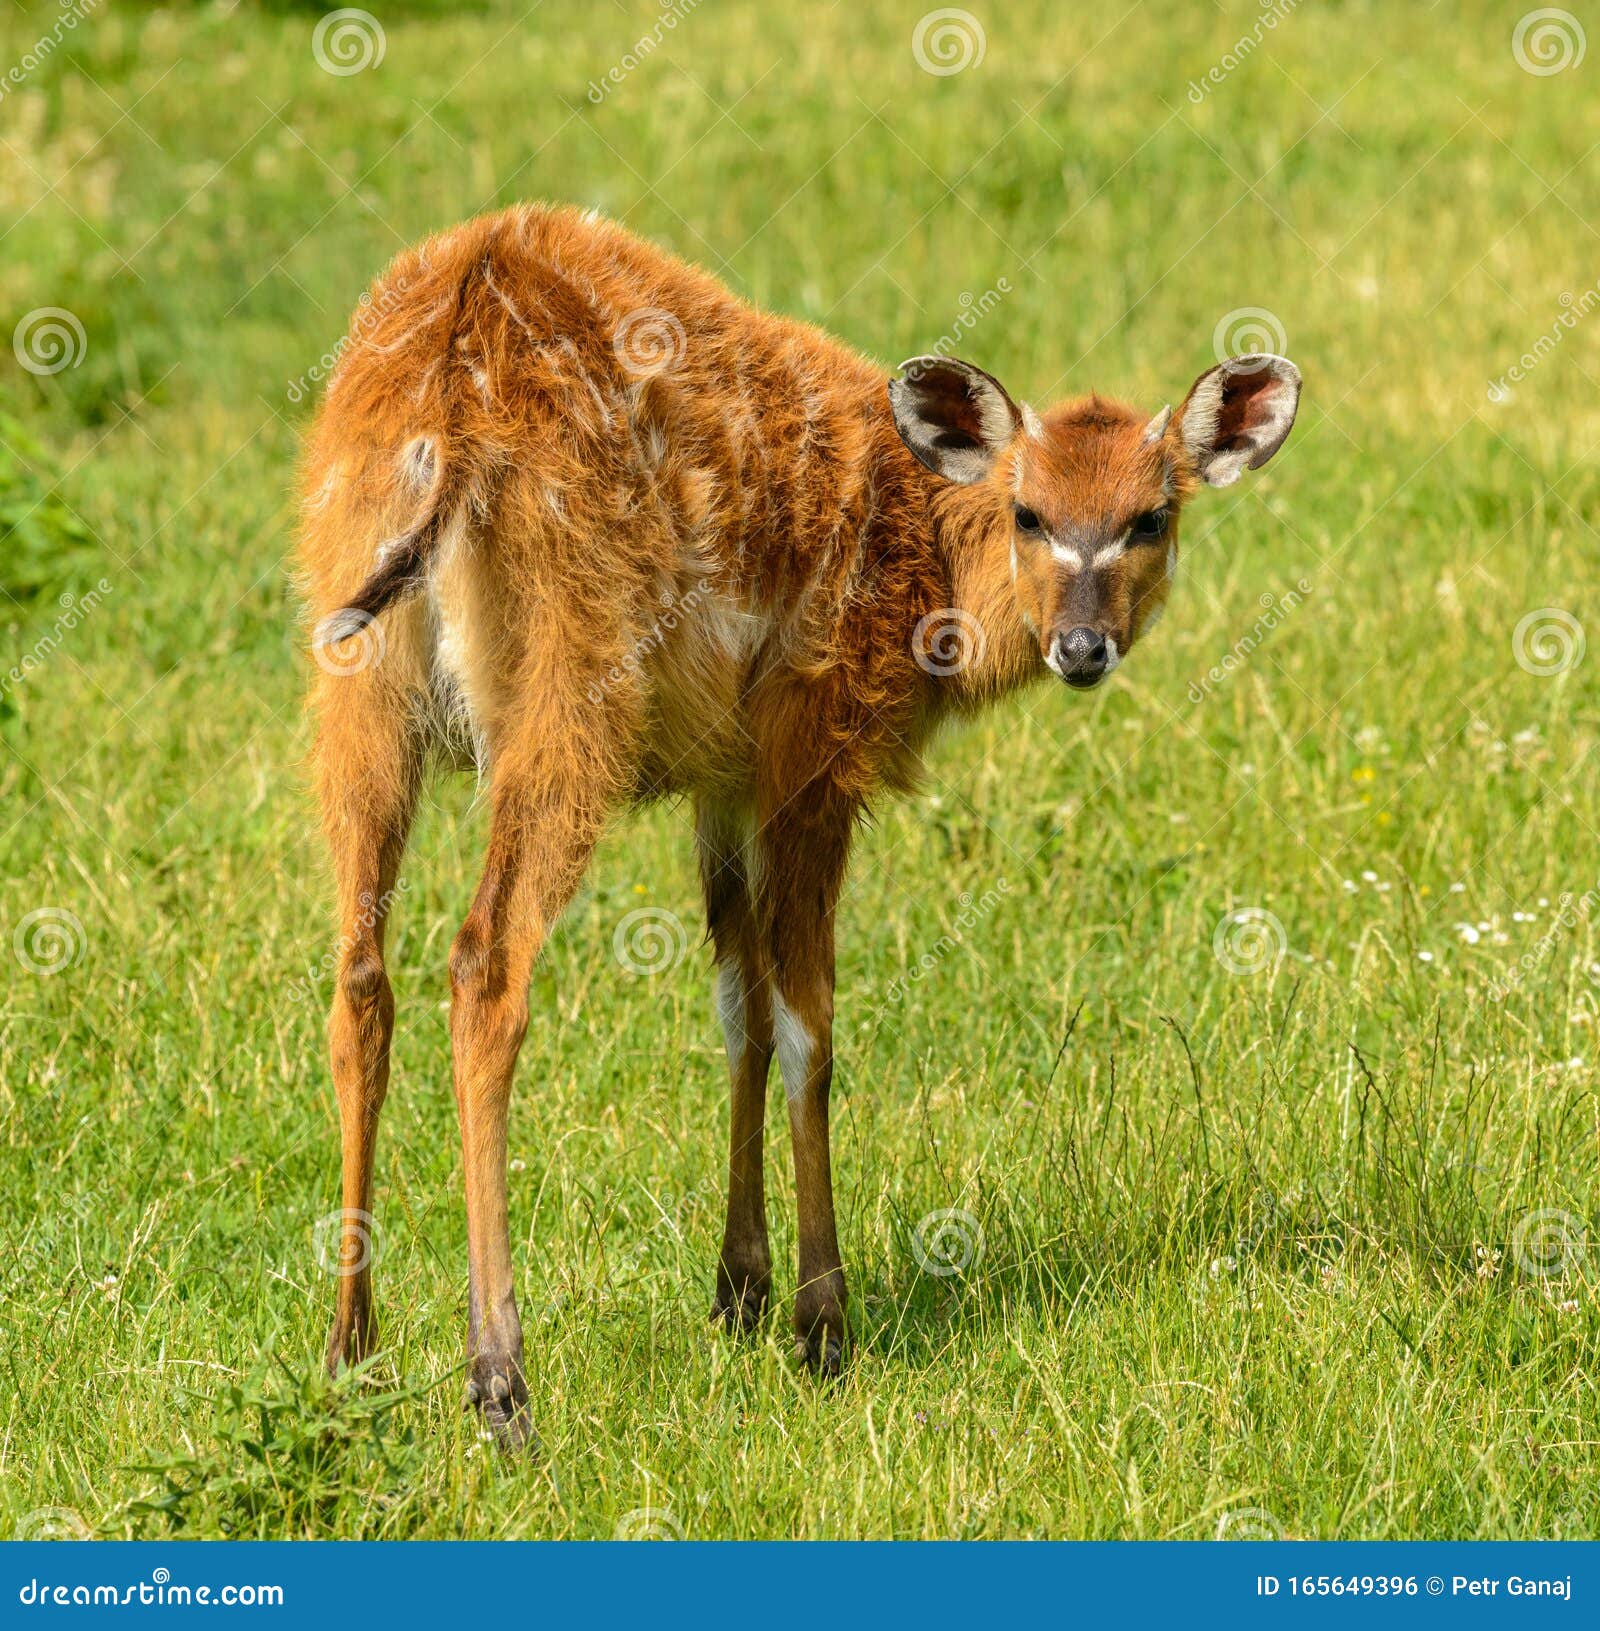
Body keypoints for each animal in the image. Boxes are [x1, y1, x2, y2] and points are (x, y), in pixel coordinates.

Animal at [301, 204, 1300, 1448]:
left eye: (1149, 515)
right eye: (1030, 511)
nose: (1082, 646)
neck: (930, 581)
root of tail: (451, 377)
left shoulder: (726, 777)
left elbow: (733, 996)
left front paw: (738, 1289)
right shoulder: (818, 745)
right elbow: (806, 1023)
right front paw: (822, 1322)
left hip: (353, 678)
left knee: (359, 977)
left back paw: (351, 1353)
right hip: (565, 688)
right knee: (483, 963)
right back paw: (501, 1381)